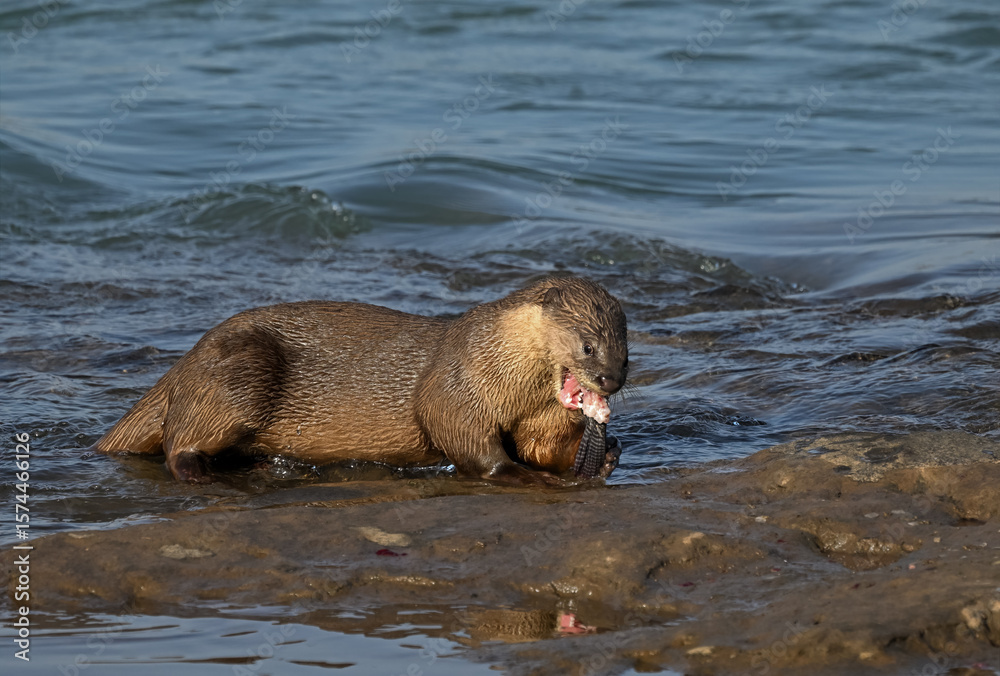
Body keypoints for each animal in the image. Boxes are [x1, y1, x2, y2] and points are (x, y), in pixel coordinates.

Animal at [93, 277, 628, 485]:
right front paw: (521, 474)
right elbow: (468, 441)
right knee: (179, 442)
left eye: (626, 353)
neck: (498, 360)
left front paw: (605, 454)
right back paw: (205, 472)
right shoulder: (455, 387)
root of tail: (184, 363)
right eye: (587, 346)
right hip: (237, 374)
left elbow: (543, 446)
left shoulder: (538, 418)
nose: (608, 379)